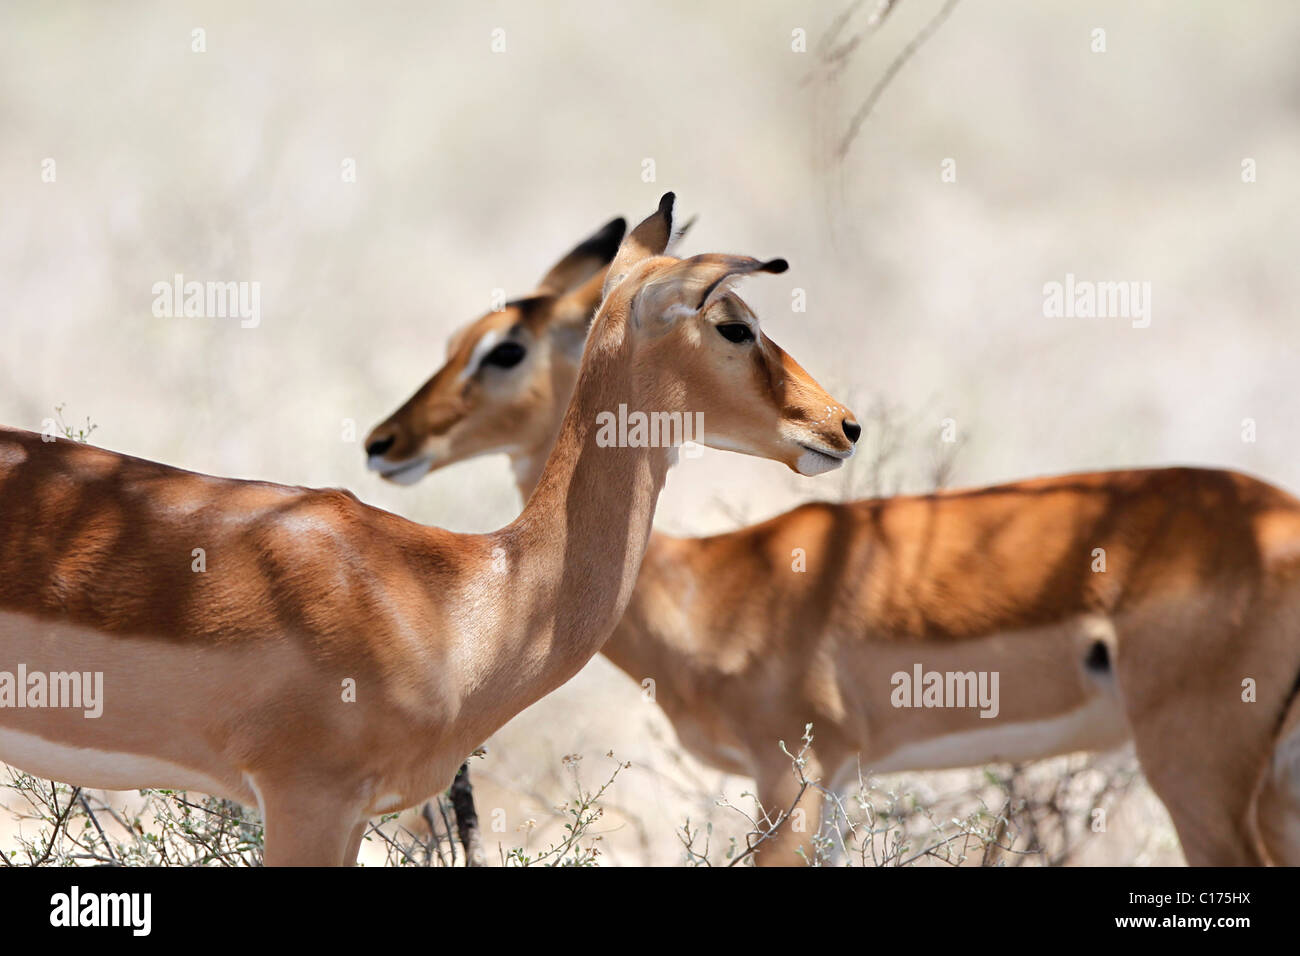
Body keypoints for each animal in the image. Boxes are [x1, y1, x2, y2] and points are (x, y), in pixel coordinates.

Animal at [368, 216, 1300, 868]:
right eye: (460, 339)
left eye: (506, 350)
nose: (384, 441)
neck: (705, 584)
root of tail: (1281, 523)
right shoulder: (839, 784)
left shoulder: (791, 776)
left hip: (1198, 771)